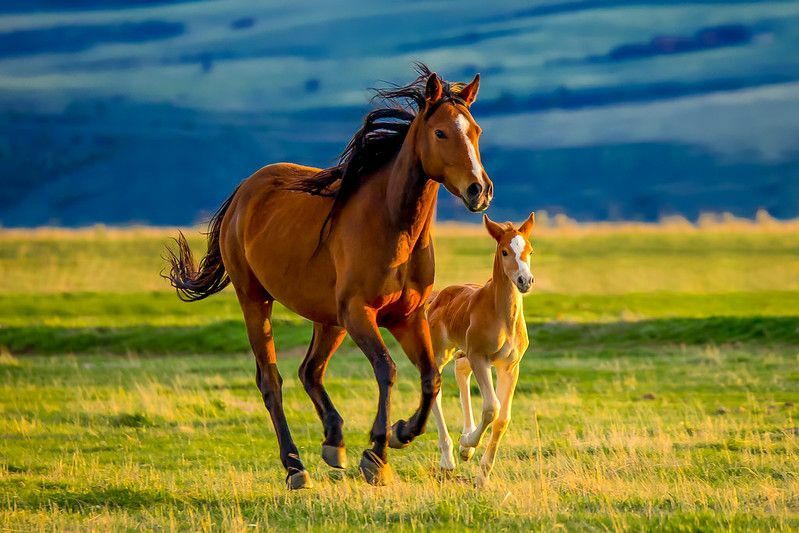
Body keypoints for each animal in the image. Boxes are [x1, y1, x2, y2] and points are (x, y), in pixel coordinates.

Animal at [164, 64, 494, 488]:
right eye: (440, 133)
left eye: (476, 131)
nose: (479, 190)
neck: (393, 227)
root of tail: (244, 192)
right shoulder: (359, 313)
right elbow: (386, 370)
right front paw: (376, 454)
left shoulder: (406, 317)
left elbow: (430, 378)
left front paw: (401, 432)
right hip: (256, 300)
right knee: (271, 381)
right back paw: (295, 466)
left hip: (328, 320)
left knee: (310, 371)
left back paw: (333, 441)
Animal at [428, 210, 536, 484]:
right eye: (505, 251)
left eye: (530, 250)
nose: (525, 281)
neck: (502, 316)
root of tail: (438, 296)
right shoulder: (480, 358)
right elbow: (491, 408)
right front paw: (467, 442)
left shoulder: (510, 366)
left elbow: (503, 418)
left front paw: (482, 475)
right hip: (441, 353)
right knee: (435, 388)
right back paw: (448, 458)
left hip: (463, 353)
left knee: (461, 374)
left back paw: (463, 449)